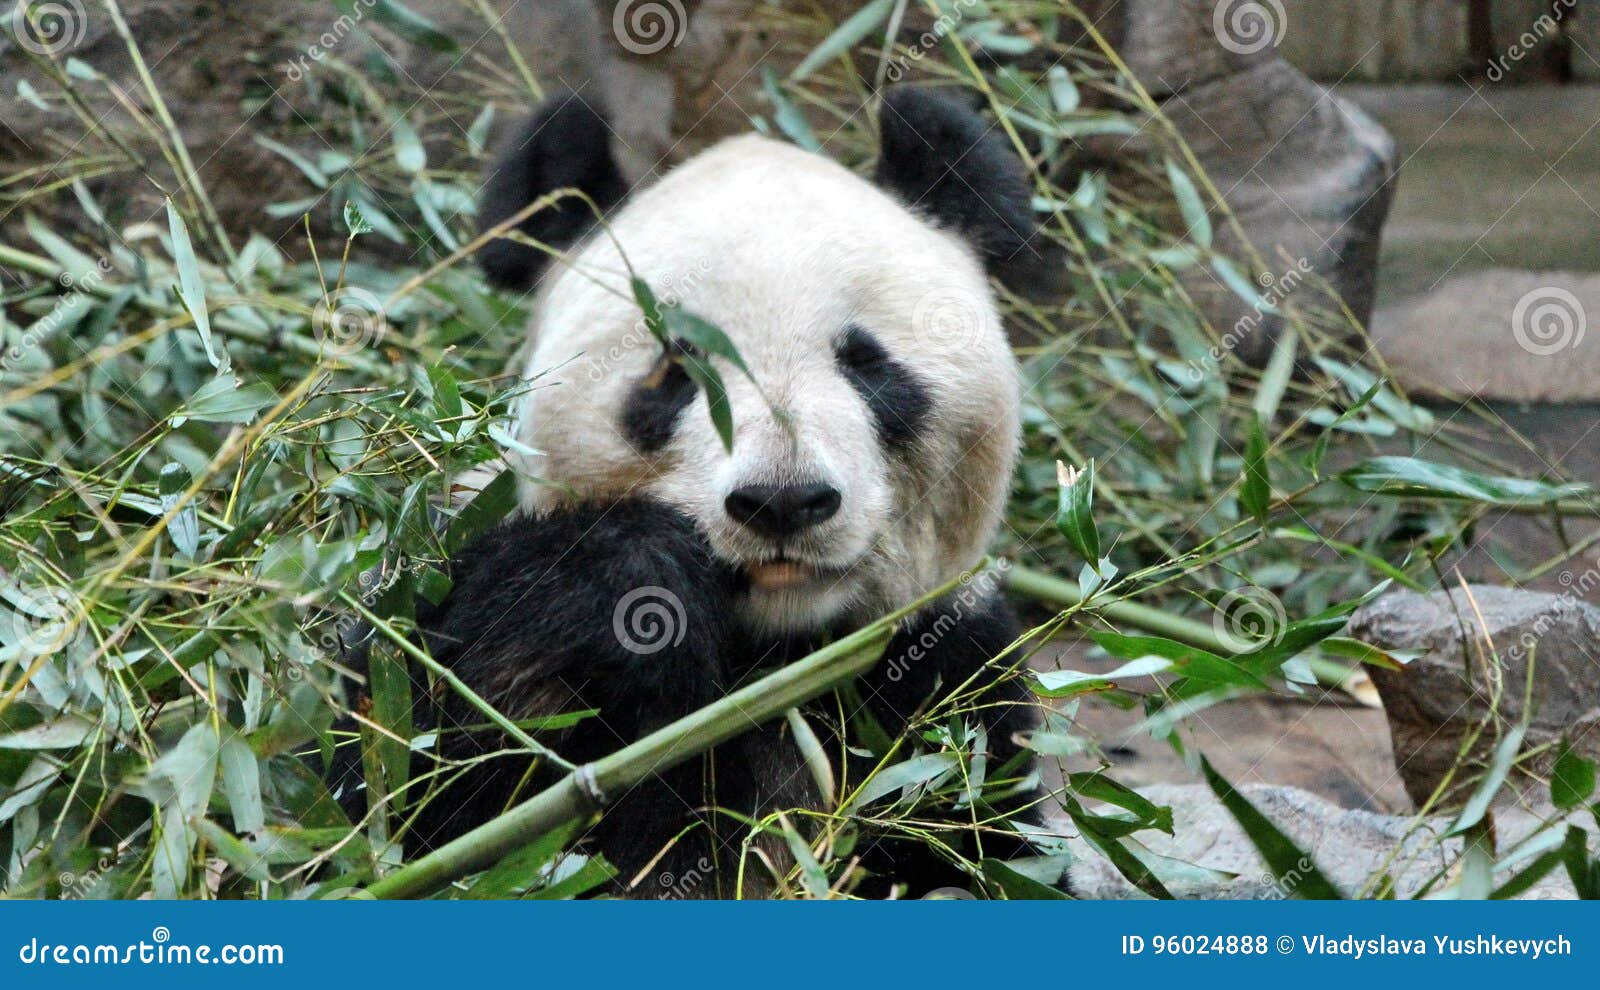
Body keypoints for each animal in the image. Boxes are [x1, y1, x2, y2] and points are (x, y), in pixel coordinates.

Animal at [354, 86, 1050, 897]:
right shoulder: (441, 578)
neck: (773, 663)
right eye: (675, 372)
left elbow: (975, 848)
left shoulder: (952, 678)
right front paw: (638, 590)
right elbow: (415, 787)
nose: (783, 501)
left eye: (867, 364)